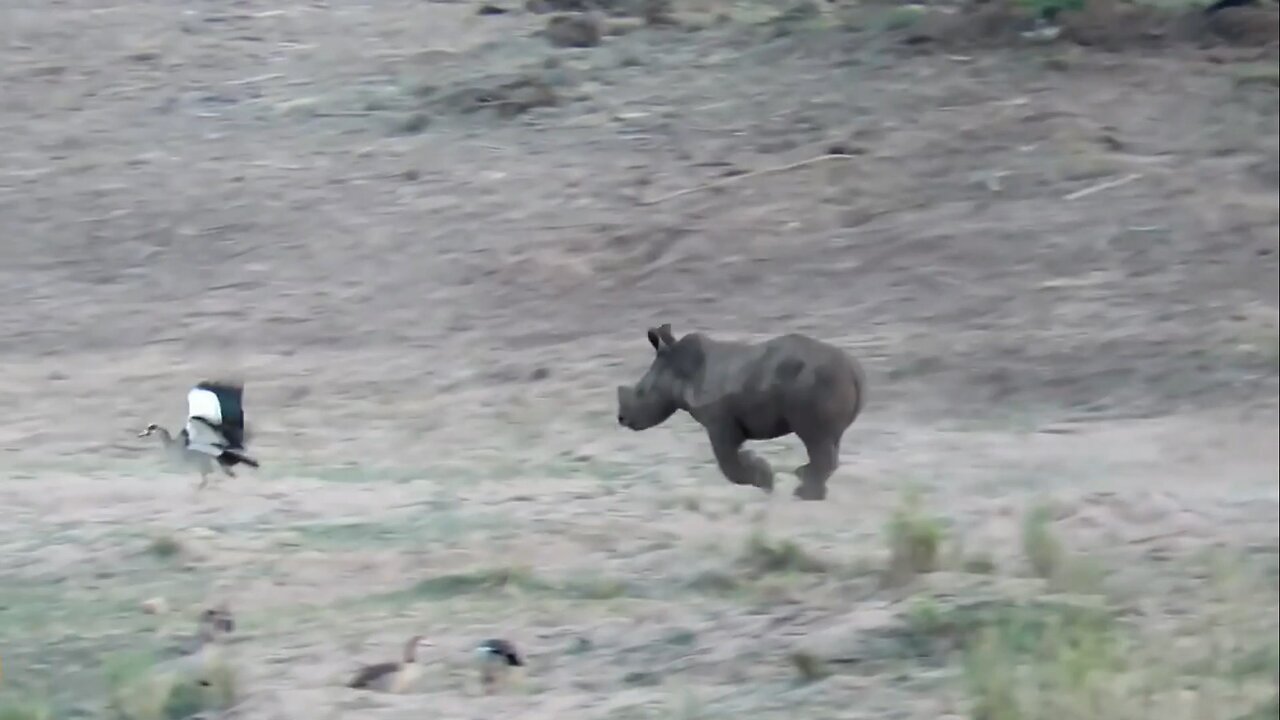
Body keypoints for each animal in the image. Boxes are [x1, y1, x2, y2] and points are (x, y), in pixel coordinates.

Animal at [616, 324, 866, 501]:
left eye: (640, 392)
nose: (622, 419)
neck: (679, 369)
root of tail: (853, 370)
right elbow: (734, 458)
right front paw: (757, 464)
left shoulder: (719, 421)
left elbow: (728, 464)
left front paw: (764, 480)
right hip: (827, 381)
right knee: (829, 440)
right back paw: (808, 484)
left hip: (817, 382)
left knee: (814, 438)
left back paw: (803, 494)